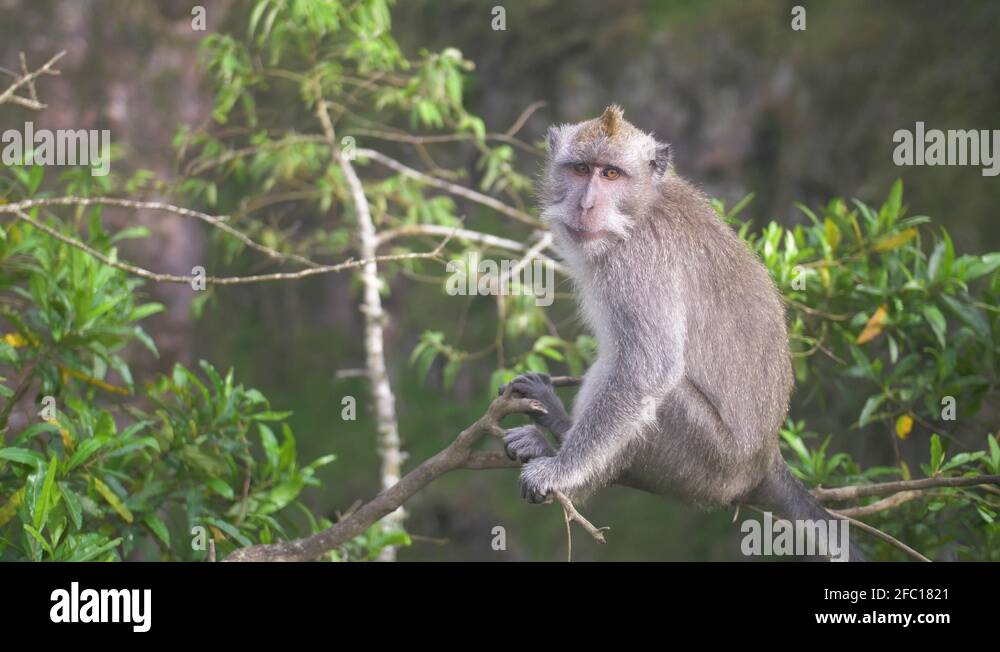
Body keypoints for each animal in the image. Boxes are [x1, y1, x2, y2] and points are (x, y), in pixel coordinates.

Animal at [500, 105, 865, 561]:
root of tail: (765, 460)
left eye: (611, 174)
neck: (641, 210)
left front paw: (561, 472)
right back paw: (559, 424)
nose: (585, 204)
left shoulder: (638, 262)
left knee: (658, 388)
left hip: (707, 464)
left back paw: (566, 460)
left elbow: (648, 370)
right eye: (581, 169)